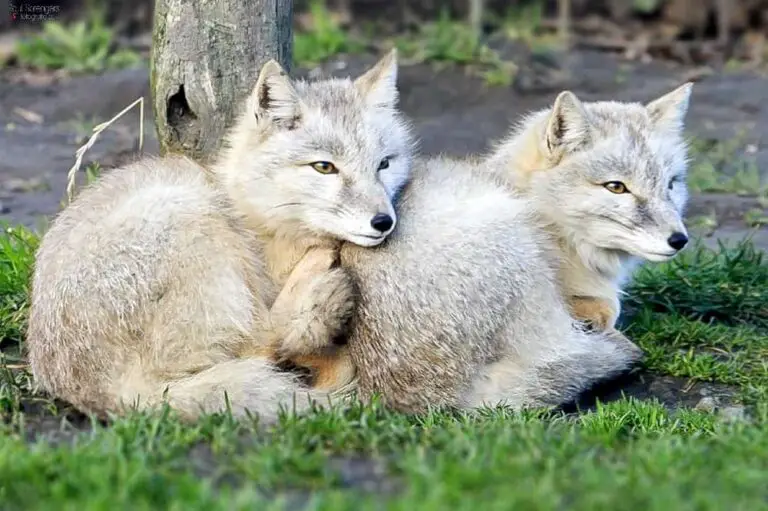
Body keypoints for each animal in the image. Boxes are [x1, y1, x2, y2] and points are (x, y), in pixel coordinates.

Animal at [25, 50, 415, 422]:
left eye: (384, 164)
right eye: (324, 167)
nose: (383, 222)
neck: (257, 219)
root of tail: (113, 396)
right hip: (193, 220)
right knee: (260, 343)